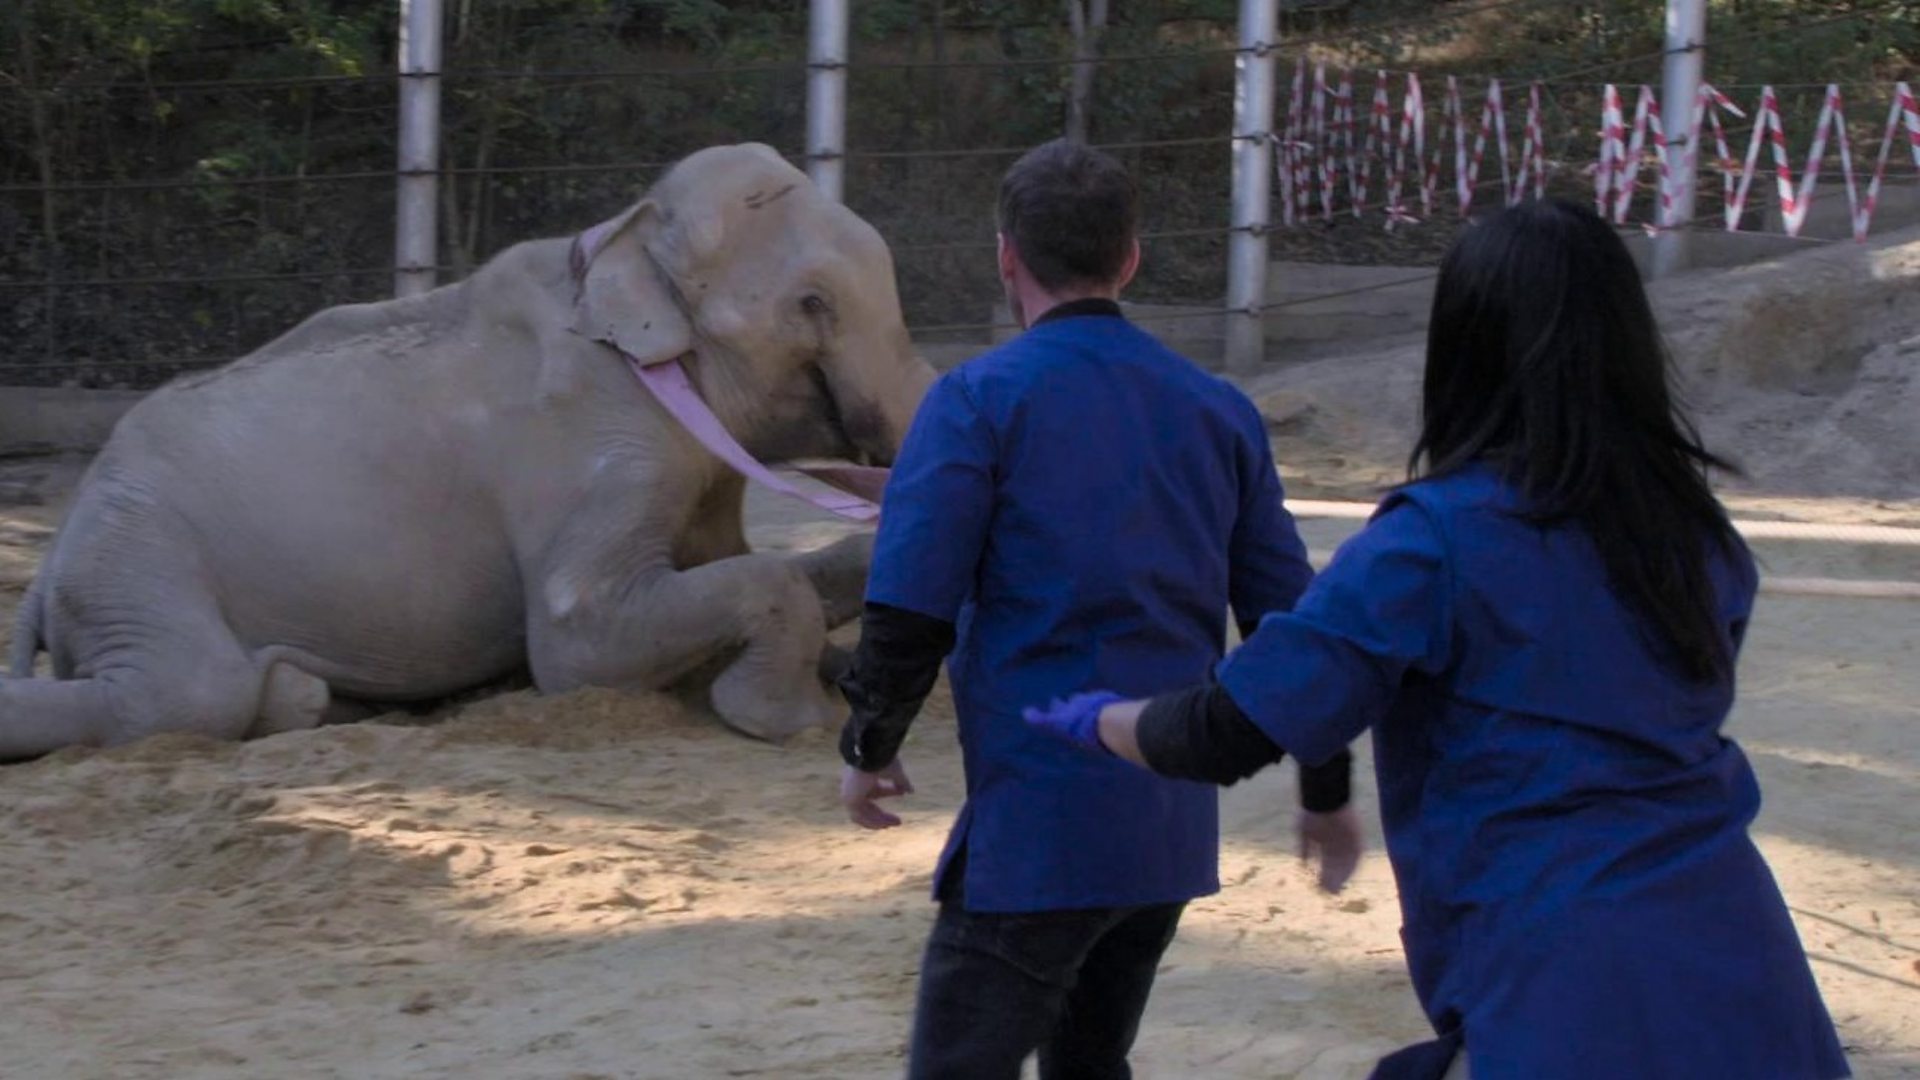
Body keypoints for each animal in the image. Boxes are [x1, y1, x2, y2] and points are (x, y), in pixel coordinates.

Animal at [0, 143, 935, 758]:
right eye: (812, 305)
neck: (623, 235)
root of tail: (52, 563)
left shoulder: (694, 471)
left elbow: (745, 561)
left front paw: (842, 665)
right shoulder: (592, 438)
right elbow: (573, 642)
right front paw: (785, 723)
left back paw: (303, 701)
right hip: (139, 557)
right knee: (185, 691)